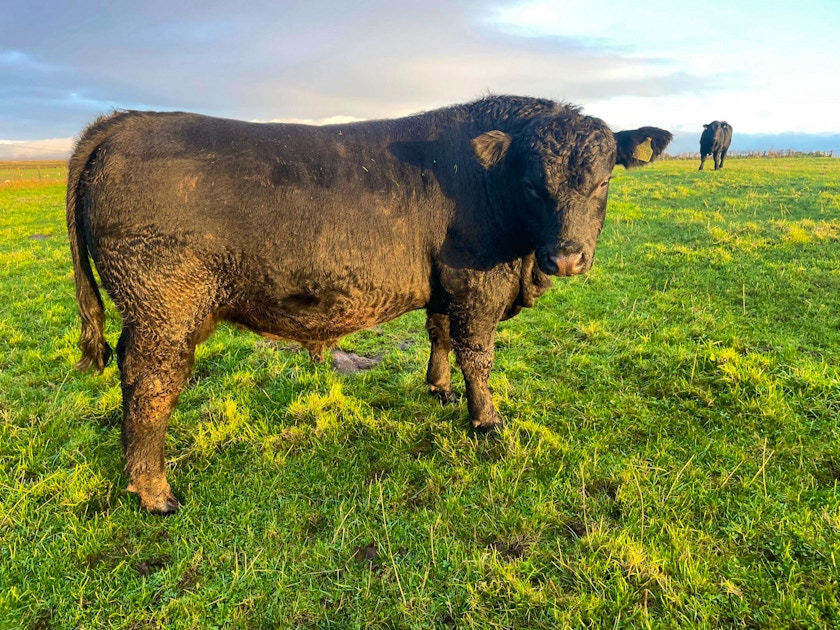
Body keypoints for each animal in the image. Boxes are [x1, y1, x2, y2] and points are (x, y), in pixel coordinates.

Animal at [67, 95, 672, 513]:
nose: (567, 257)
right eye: (530, 183)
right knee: (150, 387)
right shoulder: (476, 289)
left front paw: (438, 388)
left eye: (604, 180)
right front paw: (487, 420)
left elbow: (439, 334)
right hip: (164, 312)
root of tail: (125, 121)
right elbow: (478, 356)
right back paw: (154, 492)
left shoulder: (444, 284)